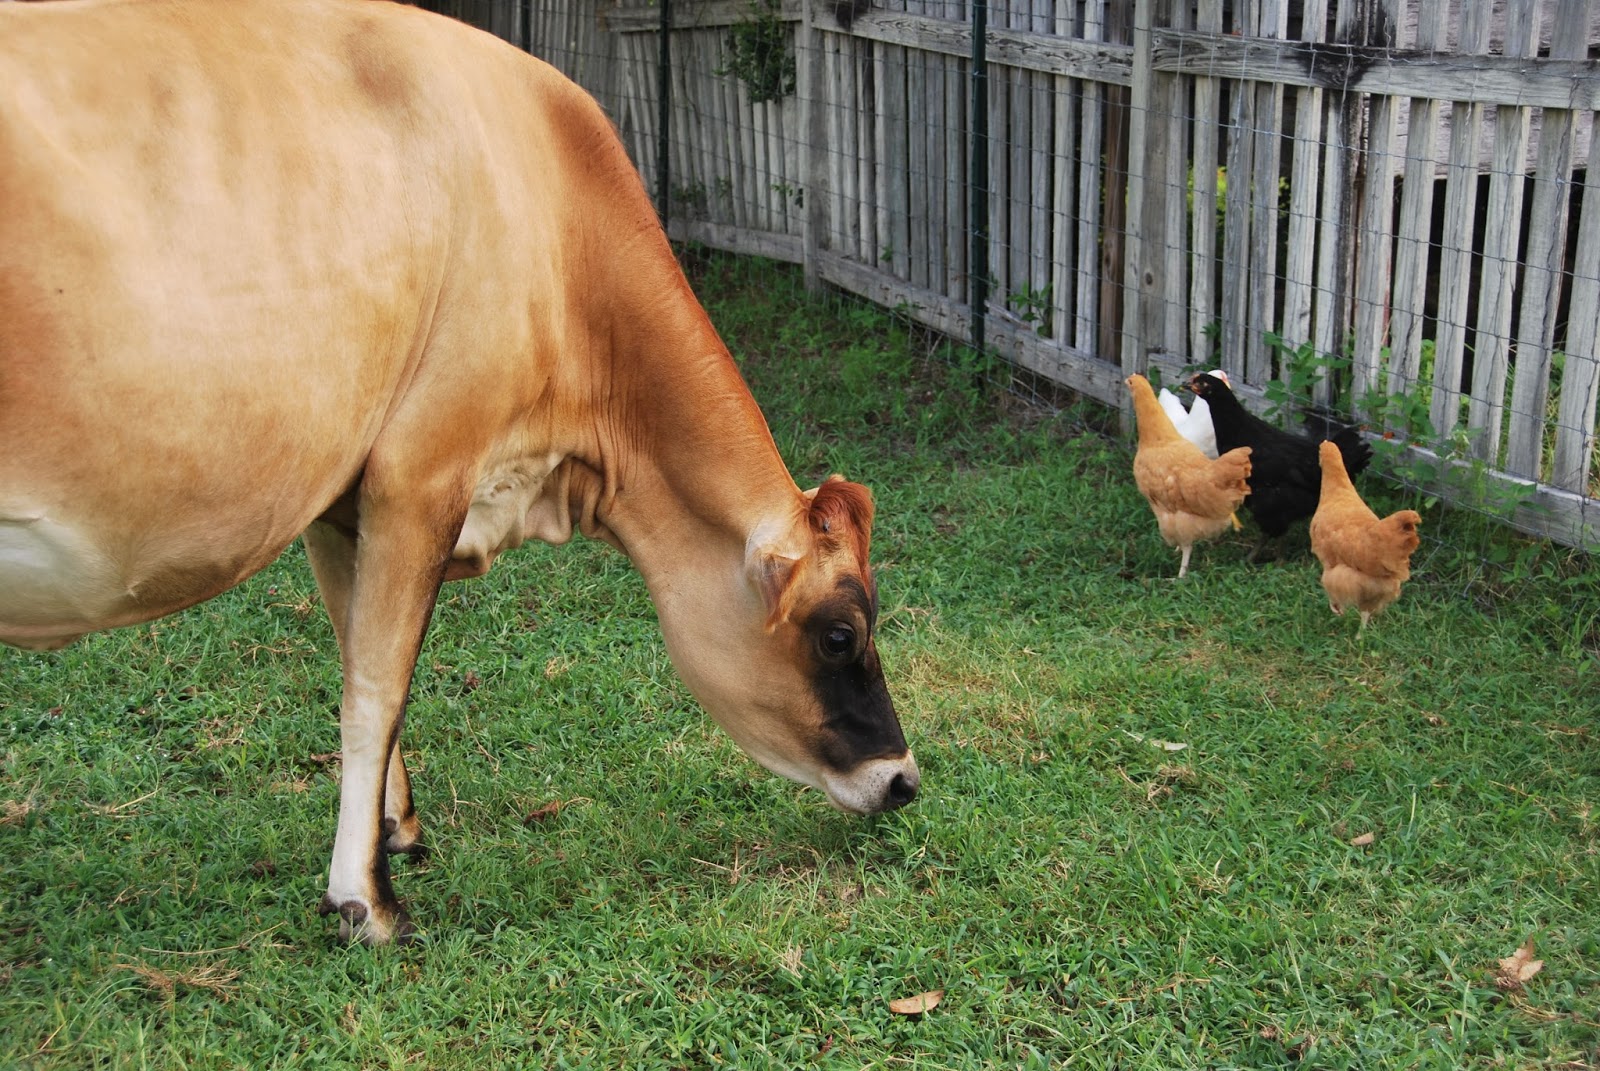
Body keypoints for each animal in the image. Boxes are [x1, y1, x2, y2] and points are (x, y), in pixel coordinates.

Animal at [0, 0, 918, 945]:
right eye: (840, 632)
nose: (904, 778)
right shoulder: (420, 473)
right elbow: (379, 688)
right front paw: (364, 899)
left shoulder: (340, 501)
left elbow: (356, 656)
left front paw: (396, 827)